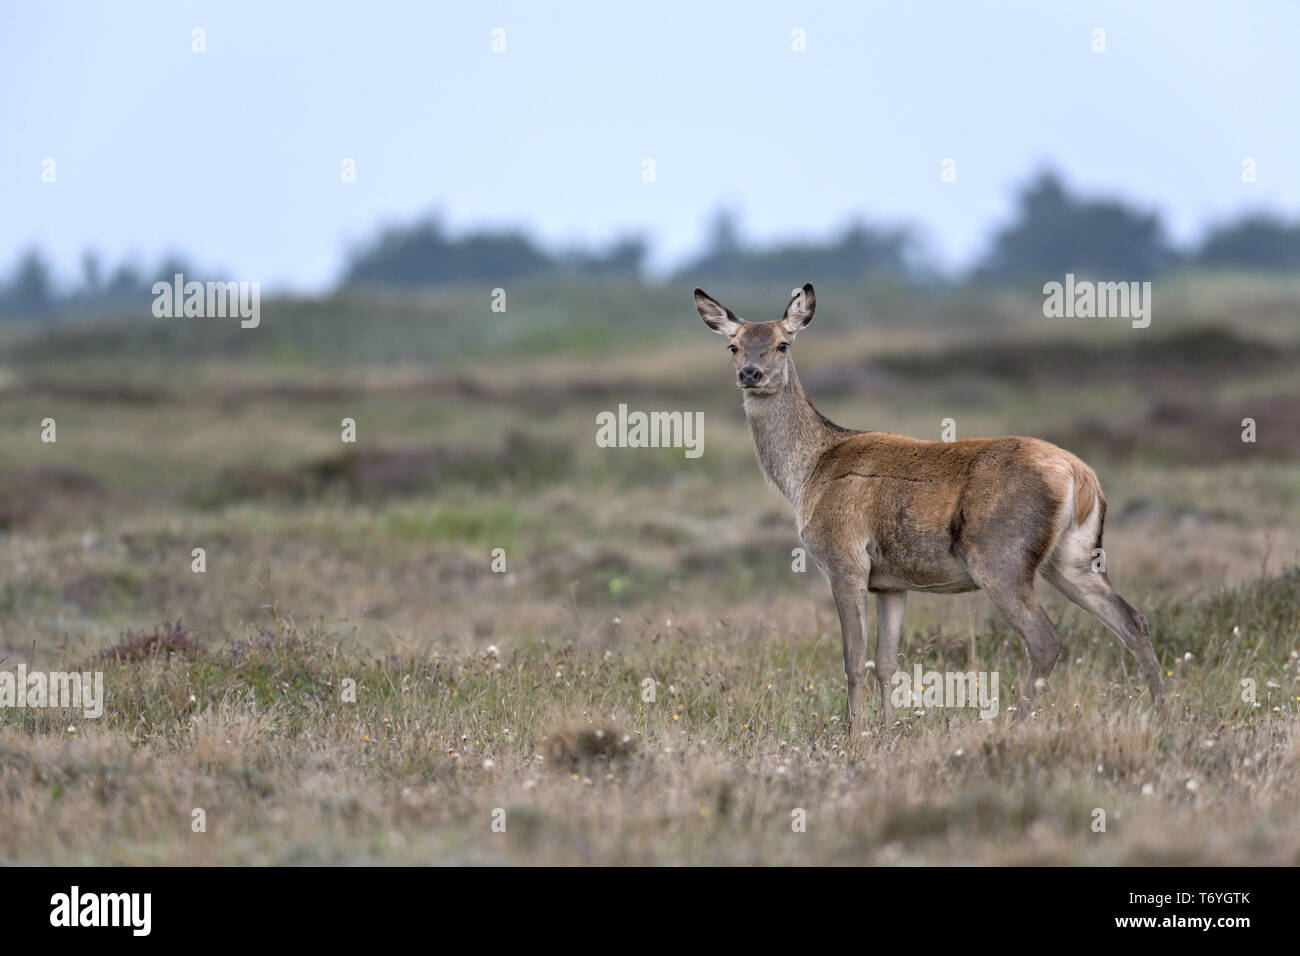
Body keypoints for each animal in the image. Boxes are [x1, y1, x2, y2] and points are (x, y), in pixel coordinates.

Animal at [694, 282, 1166, 736]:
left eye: (782, 344)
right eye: (733, 346)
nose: (750, 374)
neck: (807, 473)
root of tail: (1080, 476)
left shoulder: (843, 561)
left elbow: (853, 659)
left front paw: (852, 734)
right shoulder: (890, 583)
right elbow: (886, 661)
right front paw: (886, 732)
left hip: (1000, 556)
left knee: (1046, 640)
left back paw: (1014, 726)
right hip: (1074, 558)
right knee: (1133, 621)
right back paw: (1164, 712)